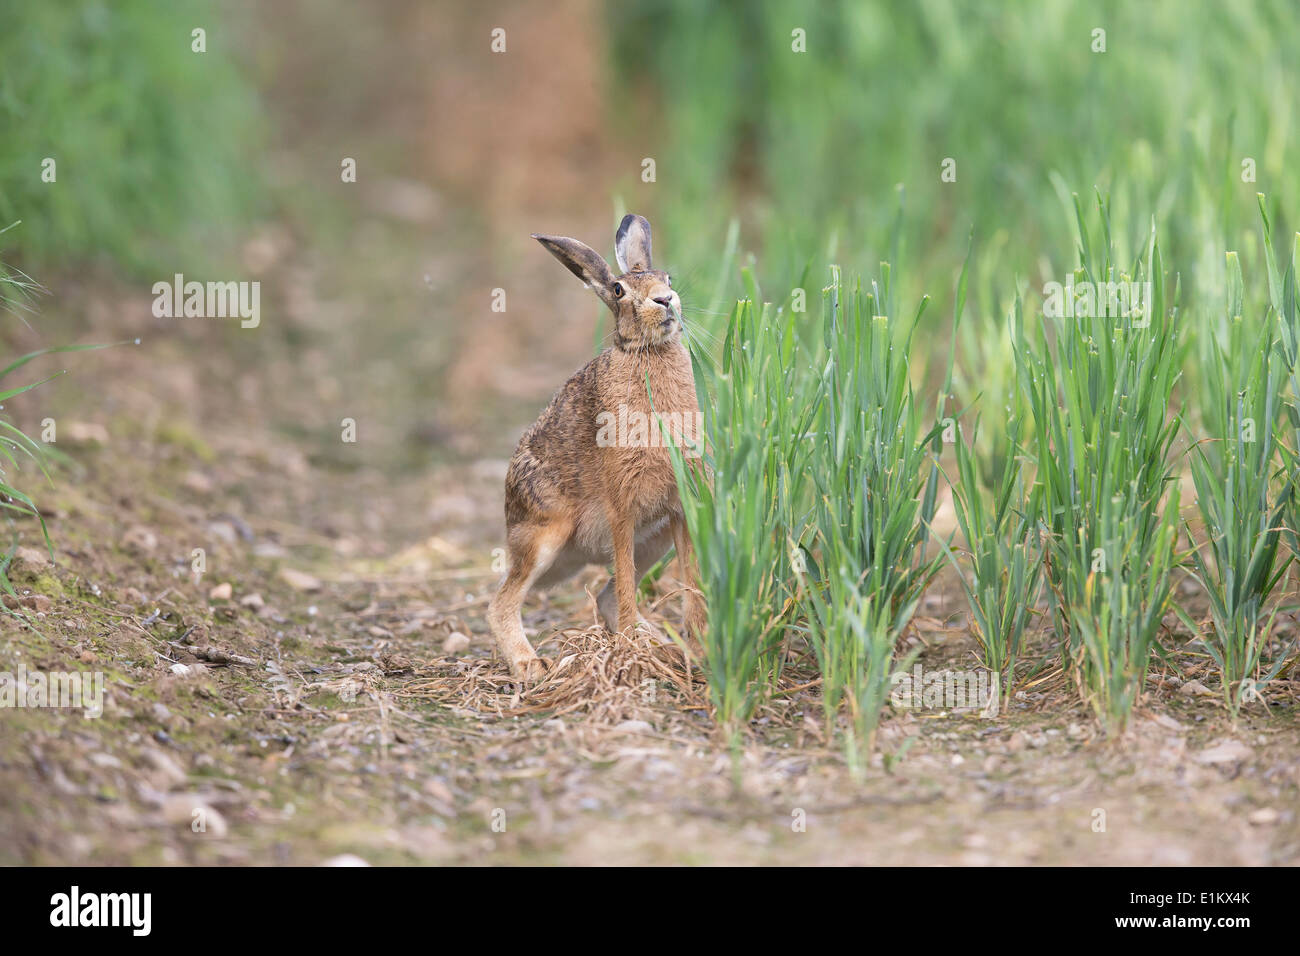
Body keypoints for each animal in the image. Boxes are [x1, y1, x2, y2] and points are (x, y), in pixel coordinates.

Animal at [487, 213, 707, 681]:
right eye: (620, 291)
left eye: (668, 278)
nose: (666, 300)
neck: (646, 351)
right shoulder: (622, 507)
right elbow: (624, 580)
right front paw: (630, 652)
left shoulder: (680, 508)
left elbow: (691, 582)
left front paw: (699, 650)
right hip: (545, 533)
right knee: (502, 601)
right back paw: (530, 665)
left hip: (655, 537)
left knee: (604, 596)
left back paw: (661, 646)